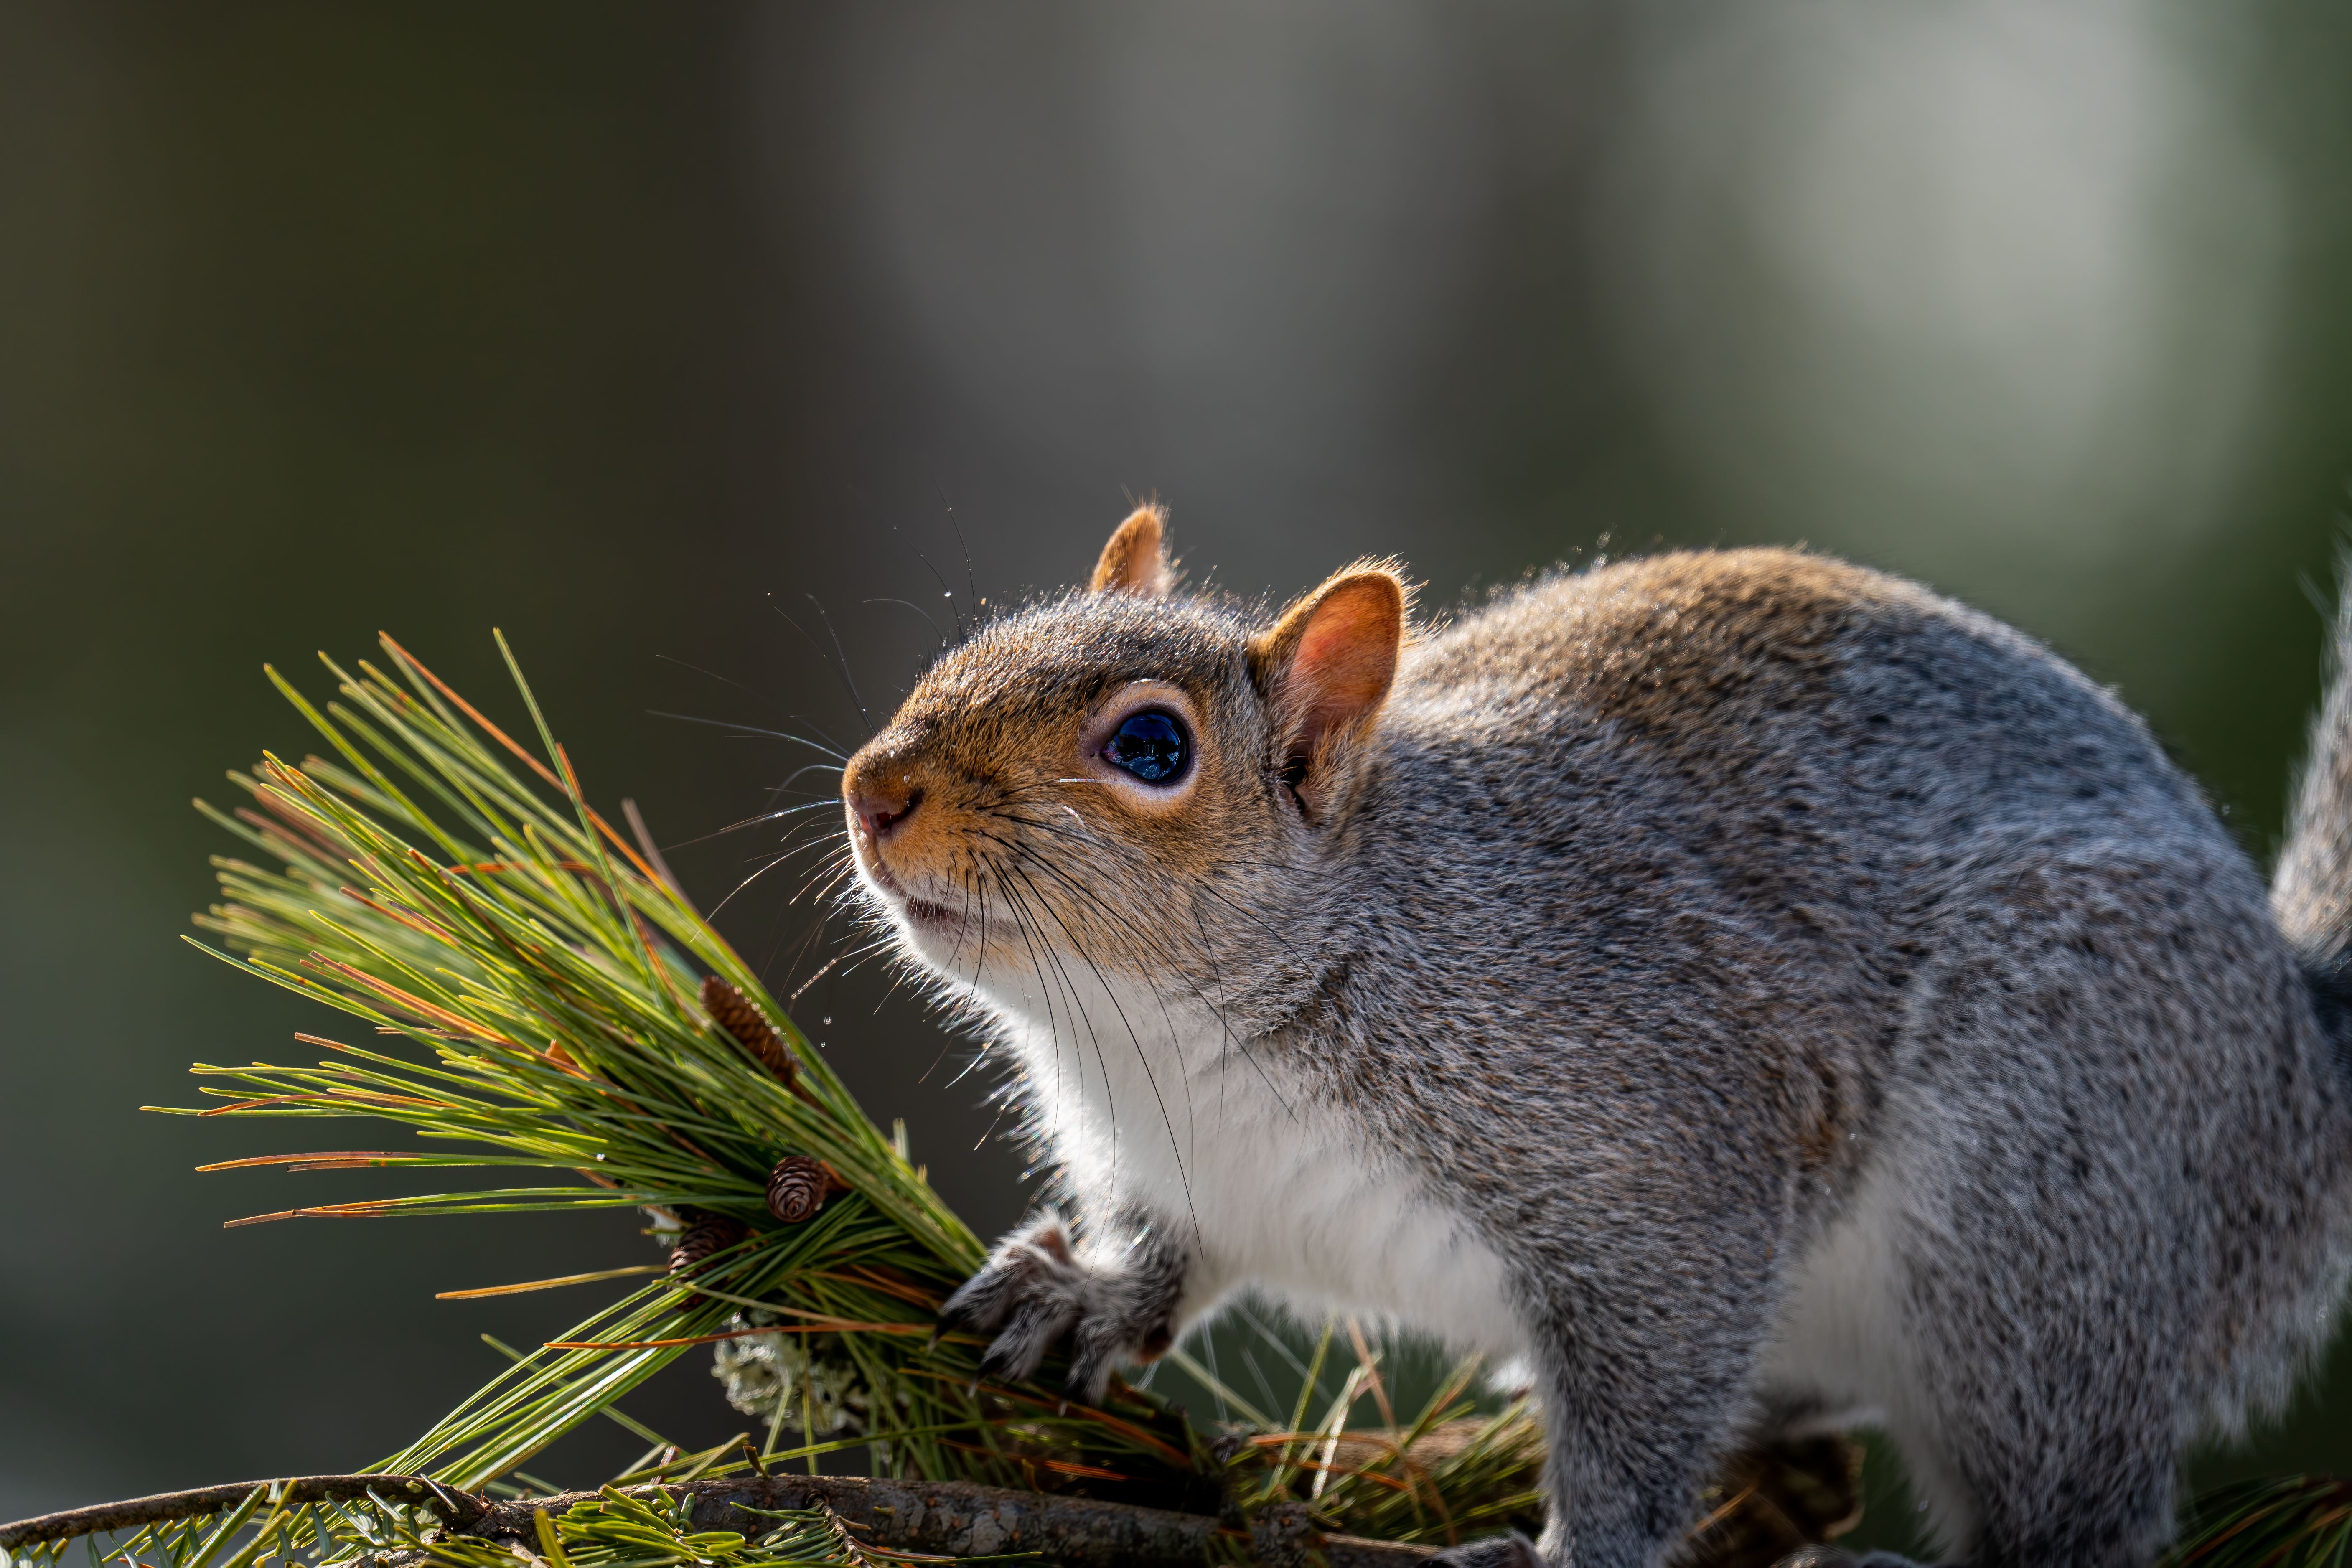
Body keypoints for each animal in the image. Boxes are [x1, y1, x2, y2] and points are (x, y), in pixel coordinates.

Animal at [837, 504, 2352, 1568]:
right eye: (974, 644)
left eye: (1150, 749)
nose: (872, 786)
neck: (1181, 1043)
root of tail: (2300, 1072)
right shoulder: (1176, 1177)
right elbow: (1161, 1262)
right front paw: (1082, 1293)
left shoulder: (1655, 1159)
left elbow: (1647, 1391)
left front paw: (1579, 1549)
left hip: (2047, 1188)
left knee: (2075, 1507)